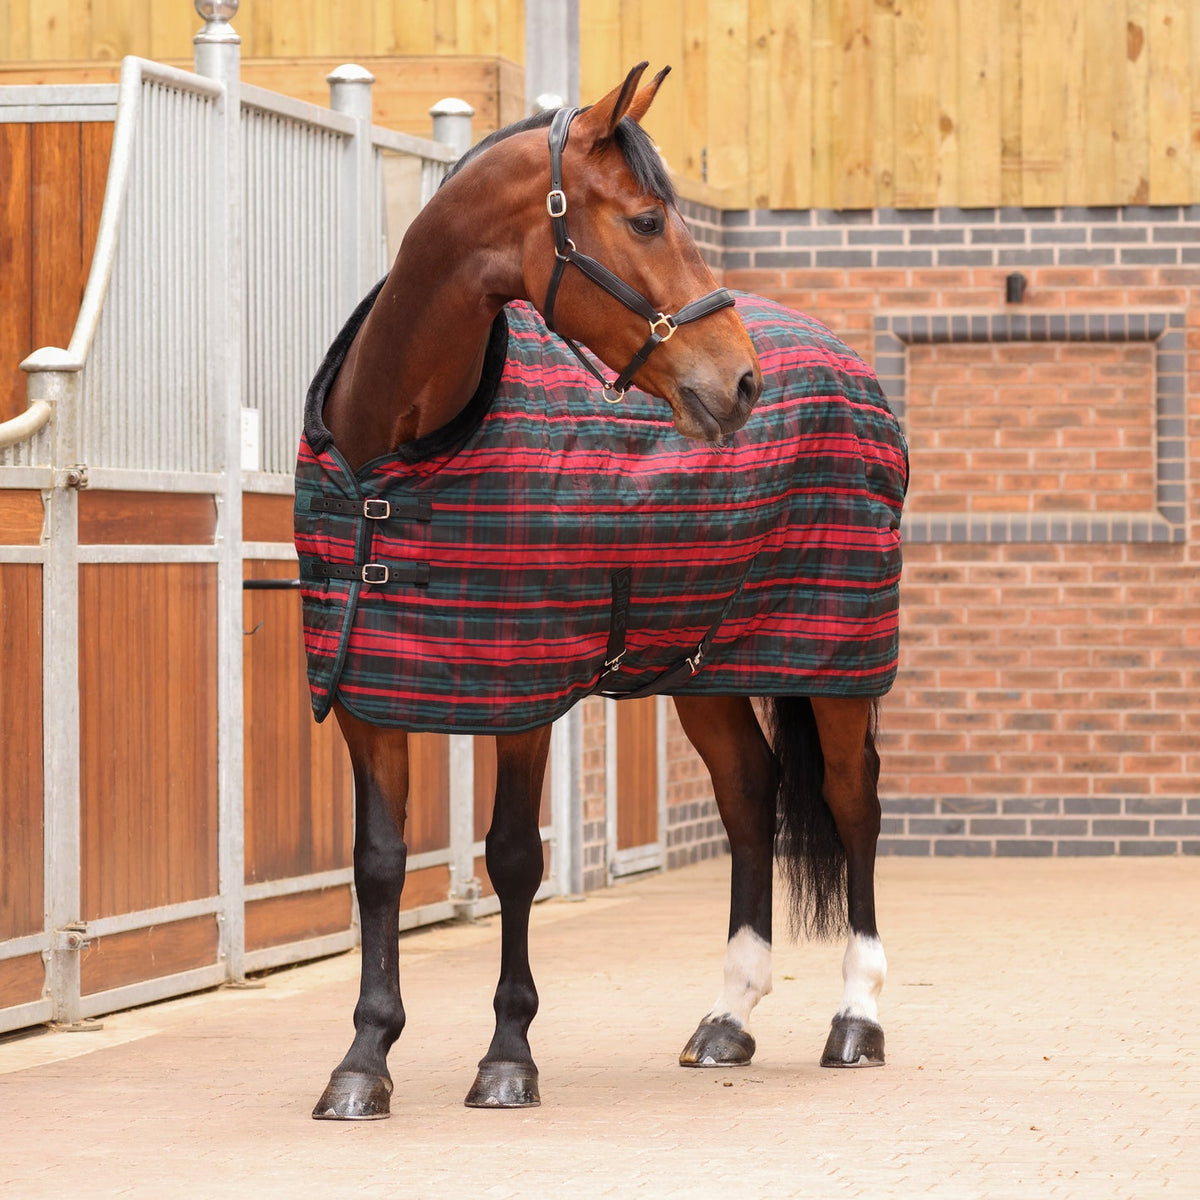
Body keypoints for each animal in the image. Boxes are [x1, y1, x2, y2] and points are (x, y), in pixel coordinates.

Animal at [296, 62, 907, 1119]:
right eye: (647, 220)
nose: (740, 382)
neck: (397, 455)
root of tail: (843, 359)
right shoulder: (371, 694)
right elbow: (377, 868)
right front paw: (363, 1062)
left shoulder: (525, 695)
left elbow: (512, 857)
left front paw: (507, 1058)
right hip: (700, 667)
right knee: (748, 792)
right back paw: (728, 1018)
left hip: (835, 654)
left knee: (850, 798)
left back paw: (856, 1019)